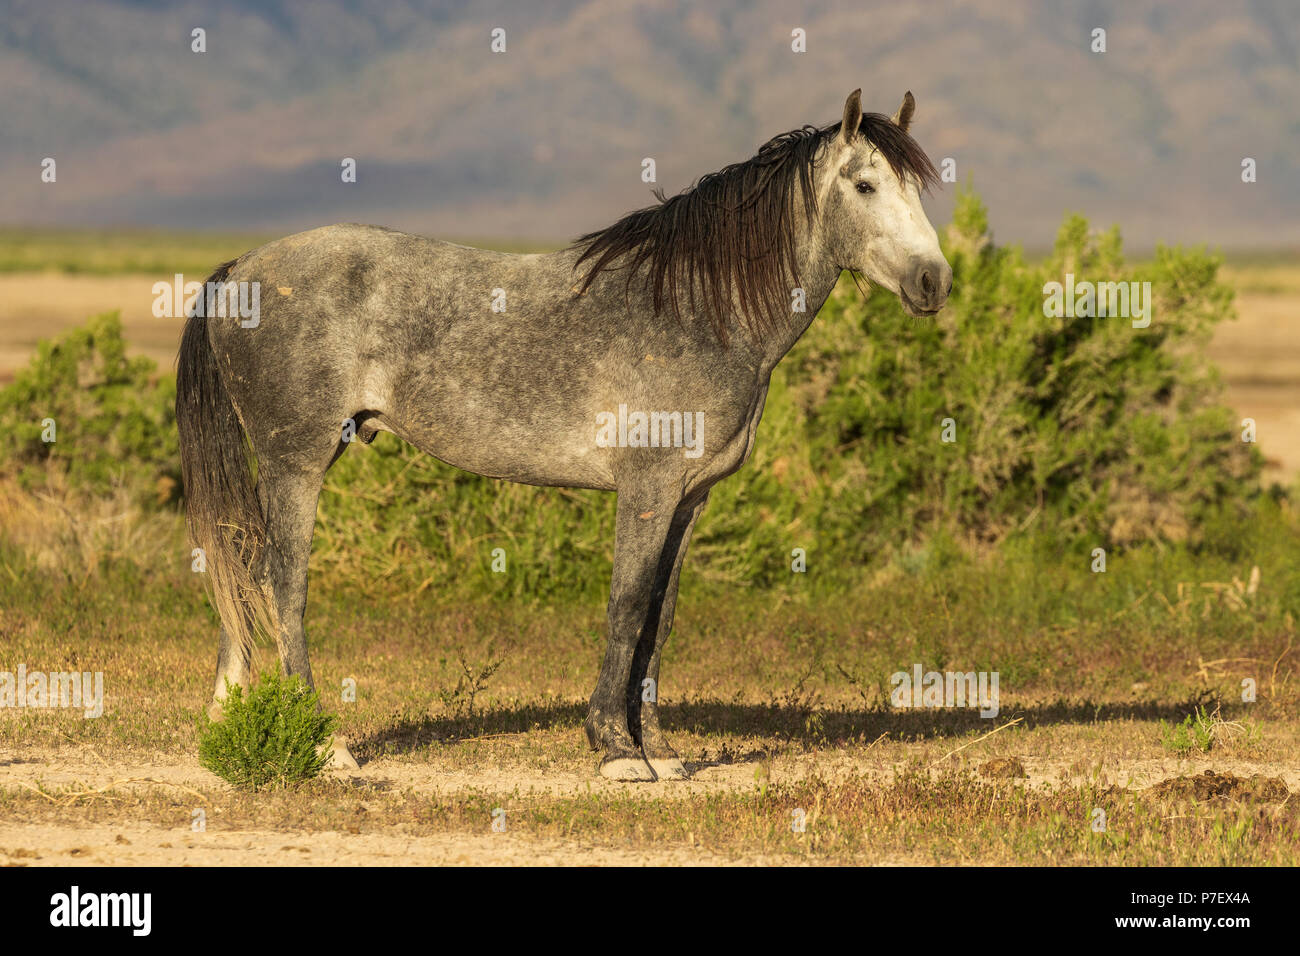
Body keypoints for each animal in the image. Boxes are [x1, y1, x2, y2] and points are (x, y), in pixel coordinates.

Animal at [176, 88, 951, 782]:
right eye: (864, 184)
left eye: (919, 188)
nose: (933, 281)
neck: (699, 310)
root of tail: (241, 270)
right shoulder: (647, 488)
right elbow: (627, 605)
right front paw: (616, 748)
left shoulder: (689, 499)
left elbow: (661, 618)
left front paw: (661, 751)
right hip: (295, 463)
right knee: (282, 582)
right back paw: (319, 741)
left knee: (245, 570)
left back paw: (232, 713)